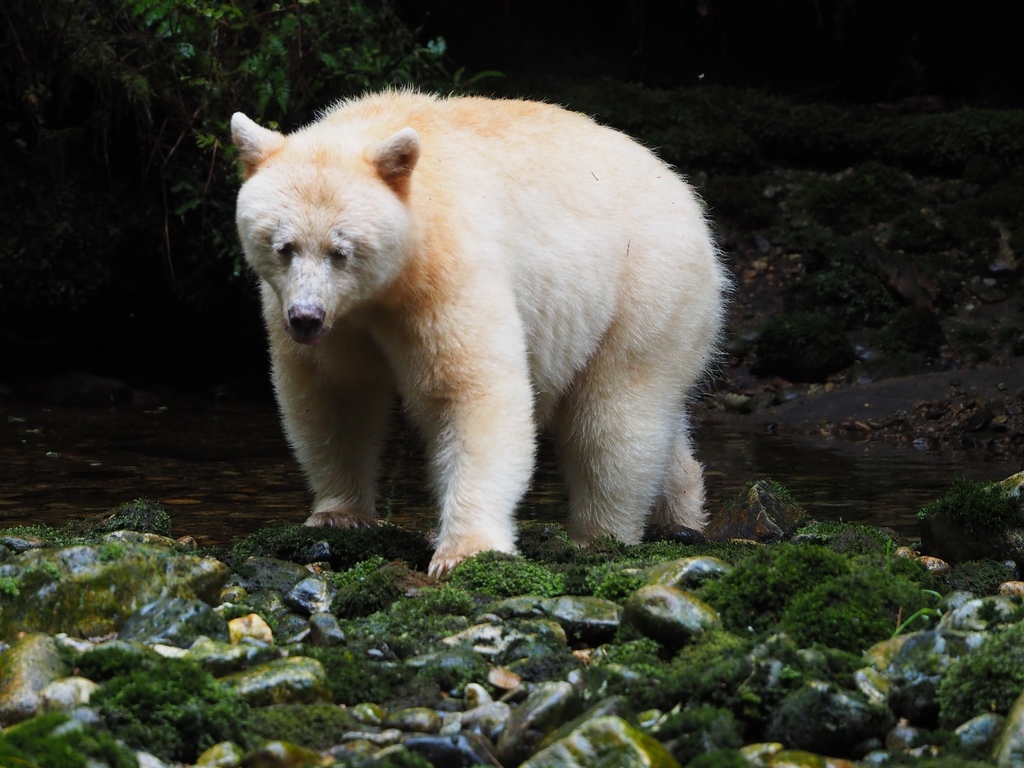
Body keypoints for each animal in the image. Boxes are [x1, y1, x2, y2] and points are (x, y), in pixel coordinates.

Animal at [231, 91, 728, 576]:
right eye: (284, 246)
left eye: (341, 251)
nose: (306, 317)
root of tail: (684, 192)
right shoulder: (329, 321)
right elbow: (334, 393)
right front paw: (337, 515)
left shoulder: (445, 272)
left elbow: (472, 390)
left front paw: (464, 550)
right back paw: (681, 516)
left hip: (642, 290)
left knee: (614, 418)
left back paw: (599, 535)